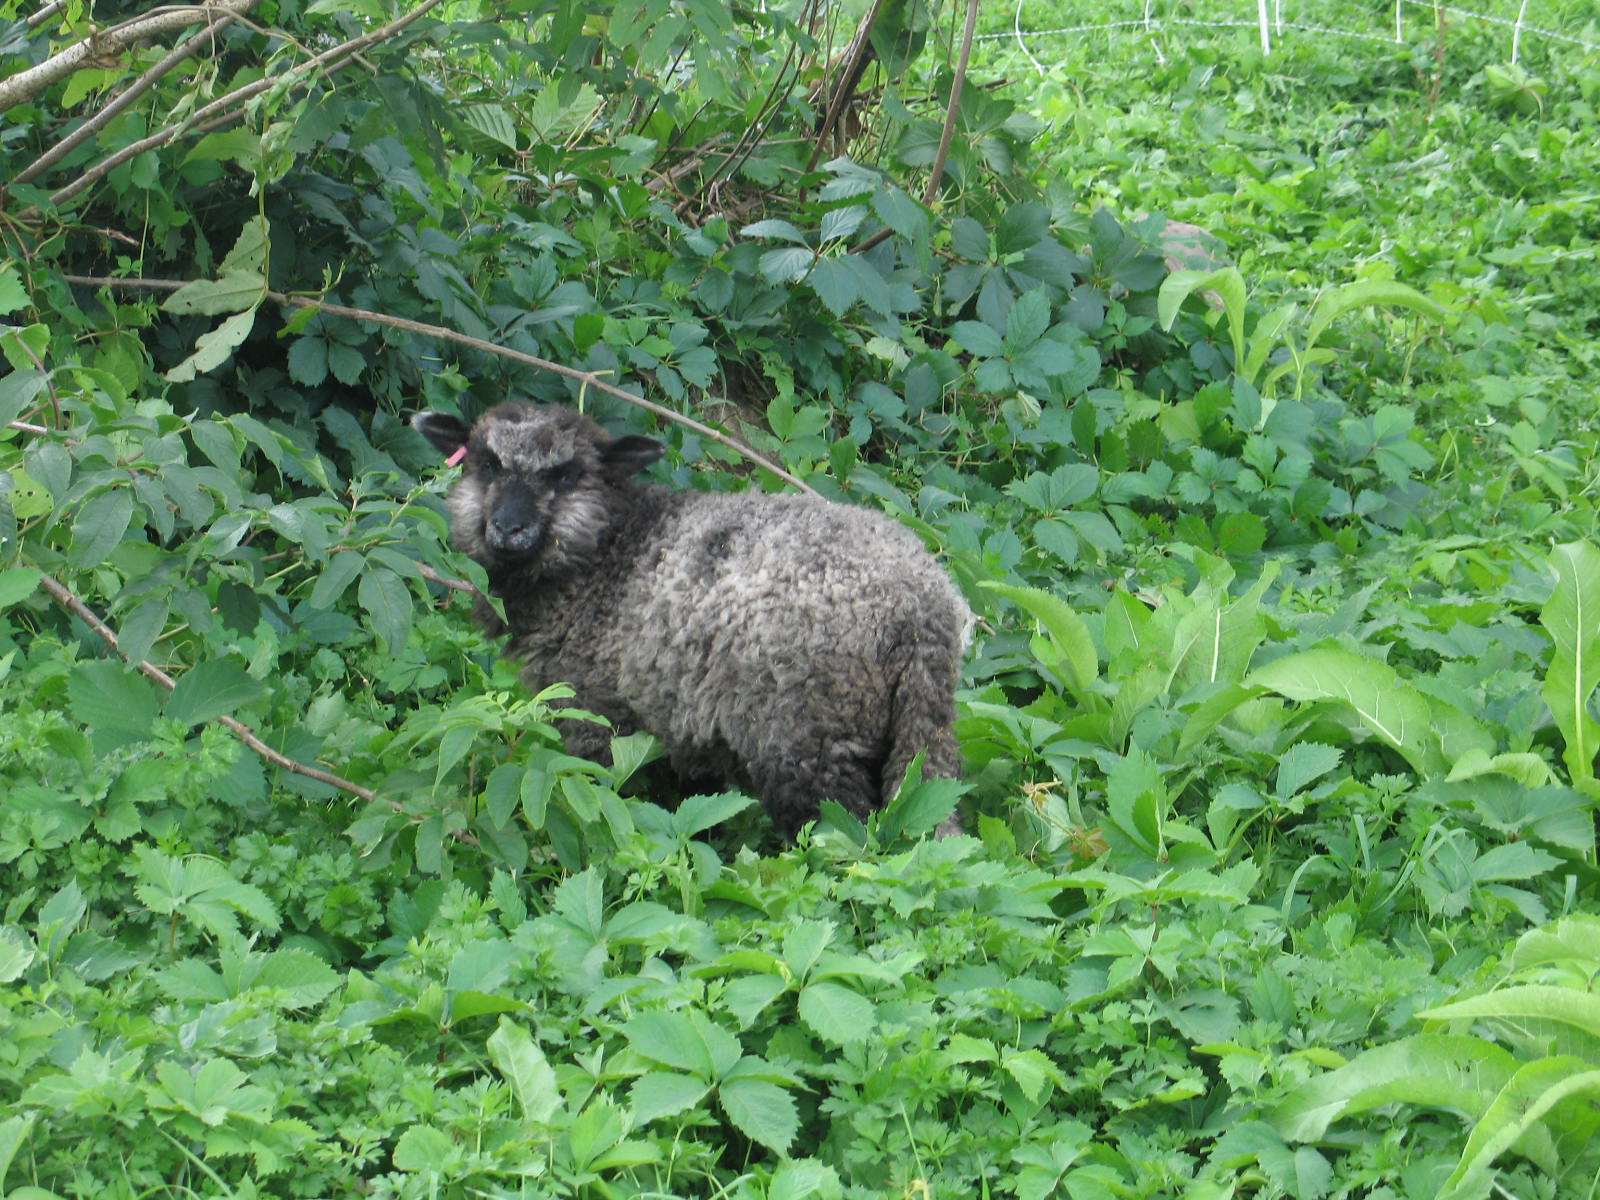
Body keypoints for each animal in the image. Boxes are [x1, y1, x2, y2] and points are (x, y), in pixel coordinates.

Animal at [412, 402, 970, 837]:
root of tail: (923, 609)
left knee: (842, 829)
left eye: (567, 475)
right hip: (924, 728)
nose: (508, 529)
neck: (609, 555)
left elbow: (598, 783)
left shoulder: (594, 707)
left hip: (809, 735)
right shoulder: (683, 723)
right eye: (486, 464)